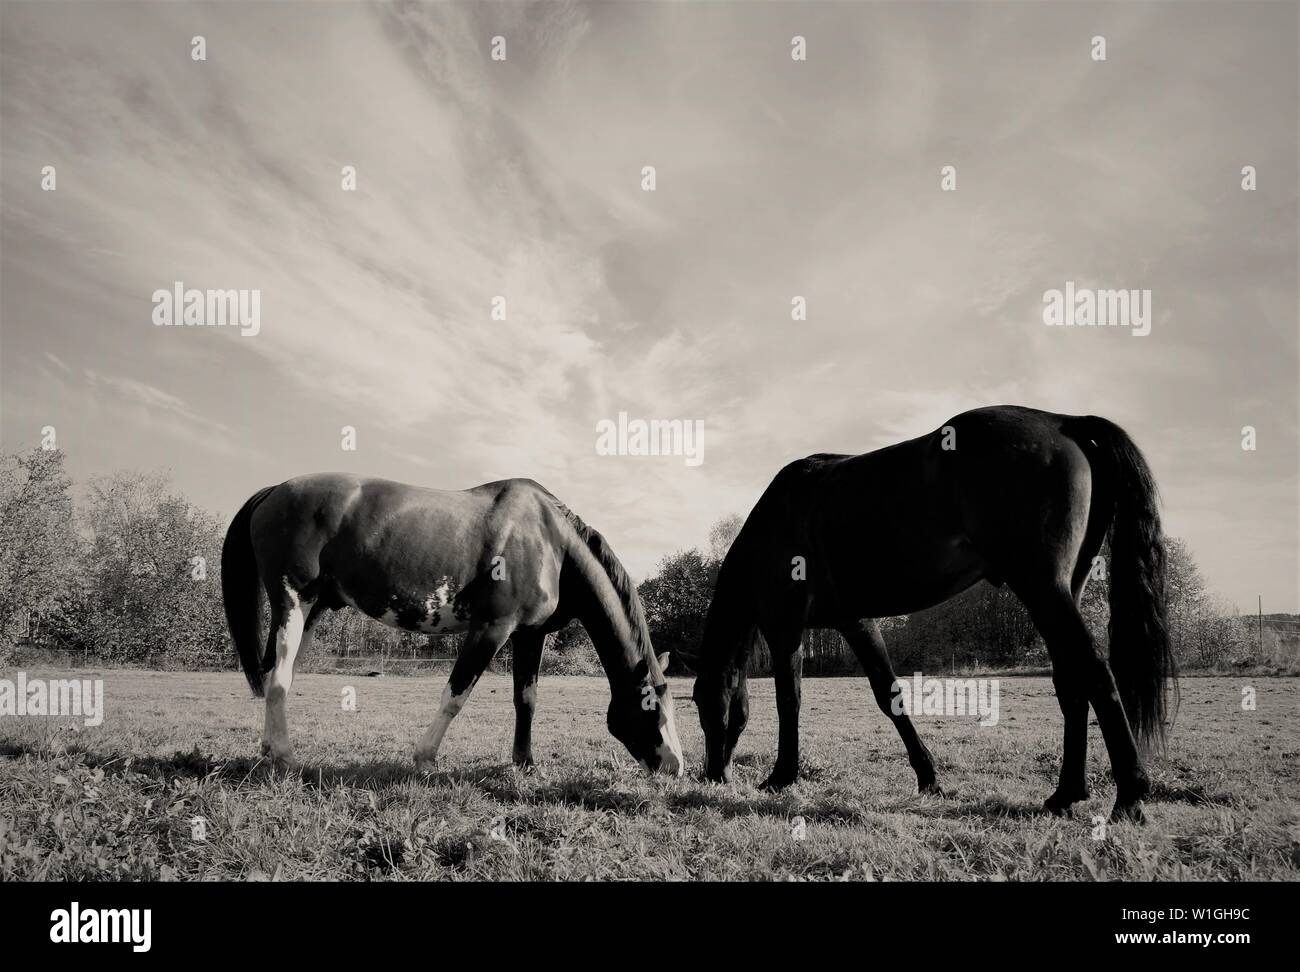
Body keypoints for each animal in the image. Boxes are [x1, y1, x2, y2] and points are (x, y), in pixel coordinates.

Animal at [221, 473, 684, 776]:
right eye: (650, 705)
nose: (675, 766)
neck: (550, 541)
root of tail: (275, 491)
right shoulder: (492, 629)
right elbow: (455, 695)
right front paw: (425, 758)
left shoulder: (529, 635)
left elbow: (526, 700)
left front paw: (524, 763)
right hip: (292, 601)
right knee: (279, 677)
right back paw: (284, 757)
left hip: (312, 609)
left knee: (275, 674)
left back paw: (268, 750)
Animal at [688, 405, 1177, 822]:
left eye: (702, 701)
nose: (713, 775)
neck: (776, 521)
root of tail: (1062, 422)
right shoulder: (856, 622)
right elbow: (890, 696)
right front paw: (929, 778)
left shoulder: (784, 625)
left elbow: (789, 700)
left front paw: (781, 776)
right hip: (1060, 593)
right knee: (1071, 682)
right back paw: (1065, 794)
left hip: (1043, 589)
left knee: (1095, 673)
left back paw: (1130, 797)